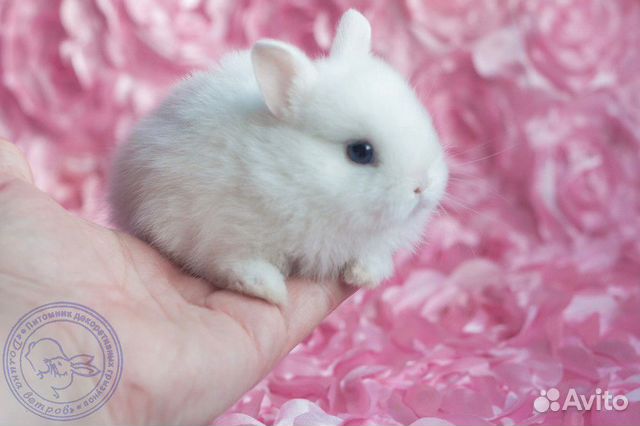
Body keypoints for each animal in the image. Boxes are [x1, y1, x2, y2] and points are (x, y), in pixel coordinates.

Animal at [109, 9, 448, 305]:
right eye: (360, 152)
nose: (422, 186)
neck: (291, 172)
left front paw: (364, 274)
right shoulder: (217, 232)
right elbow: (231, 264)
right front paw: (267, 288)